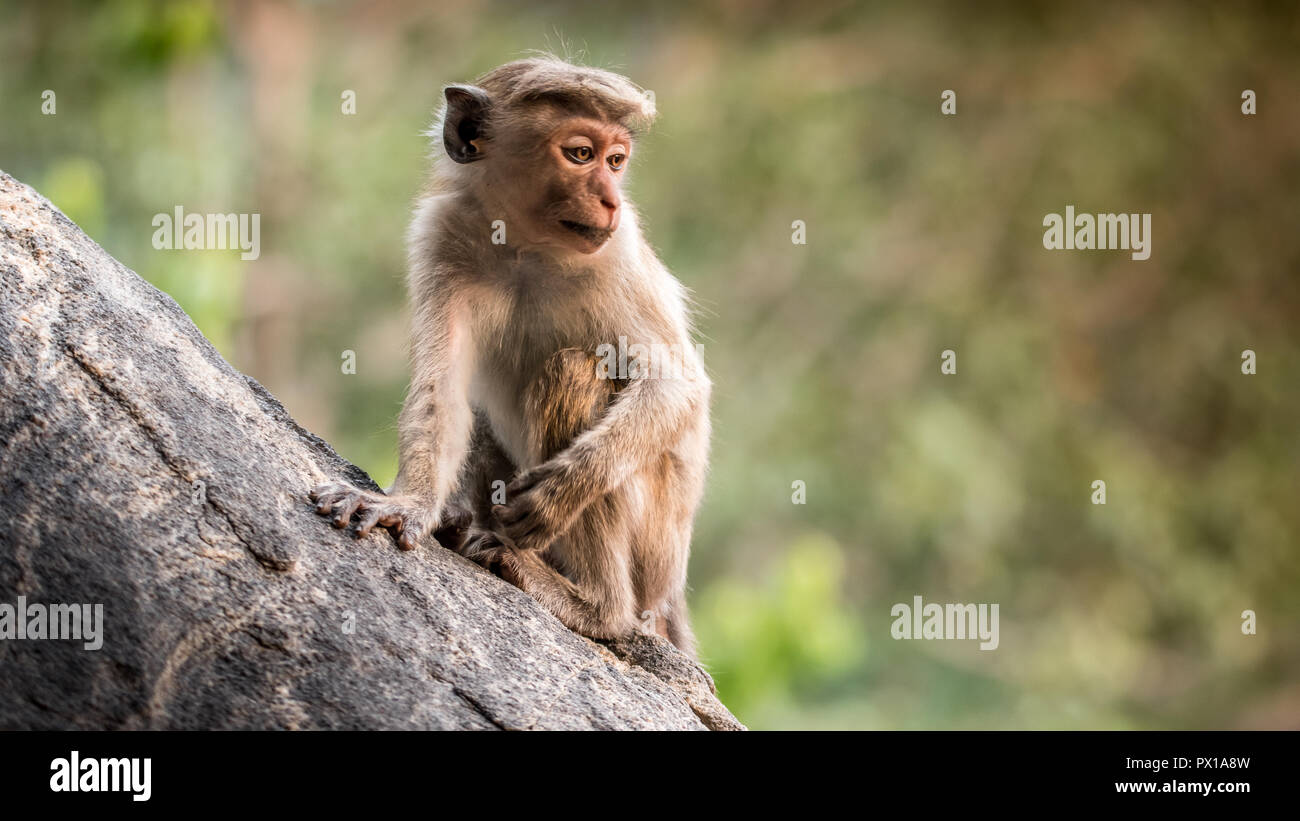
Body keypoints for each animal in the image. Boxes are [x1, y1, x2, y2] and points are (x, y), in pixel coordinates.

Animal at [309, 56, 711, 657]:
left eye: (616, 161)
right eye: (581, 155)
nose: (611, 200)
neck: (526, 246)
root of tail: (670, 595)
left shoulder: (617, 255)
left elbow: (676, 384)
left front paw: (564, 490)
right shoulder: (439, 236)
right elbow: (443, 389)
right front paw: (412, 504)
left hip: (655, 547)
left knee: (574, 370)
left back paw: (597, 607)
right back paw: (460, 524)